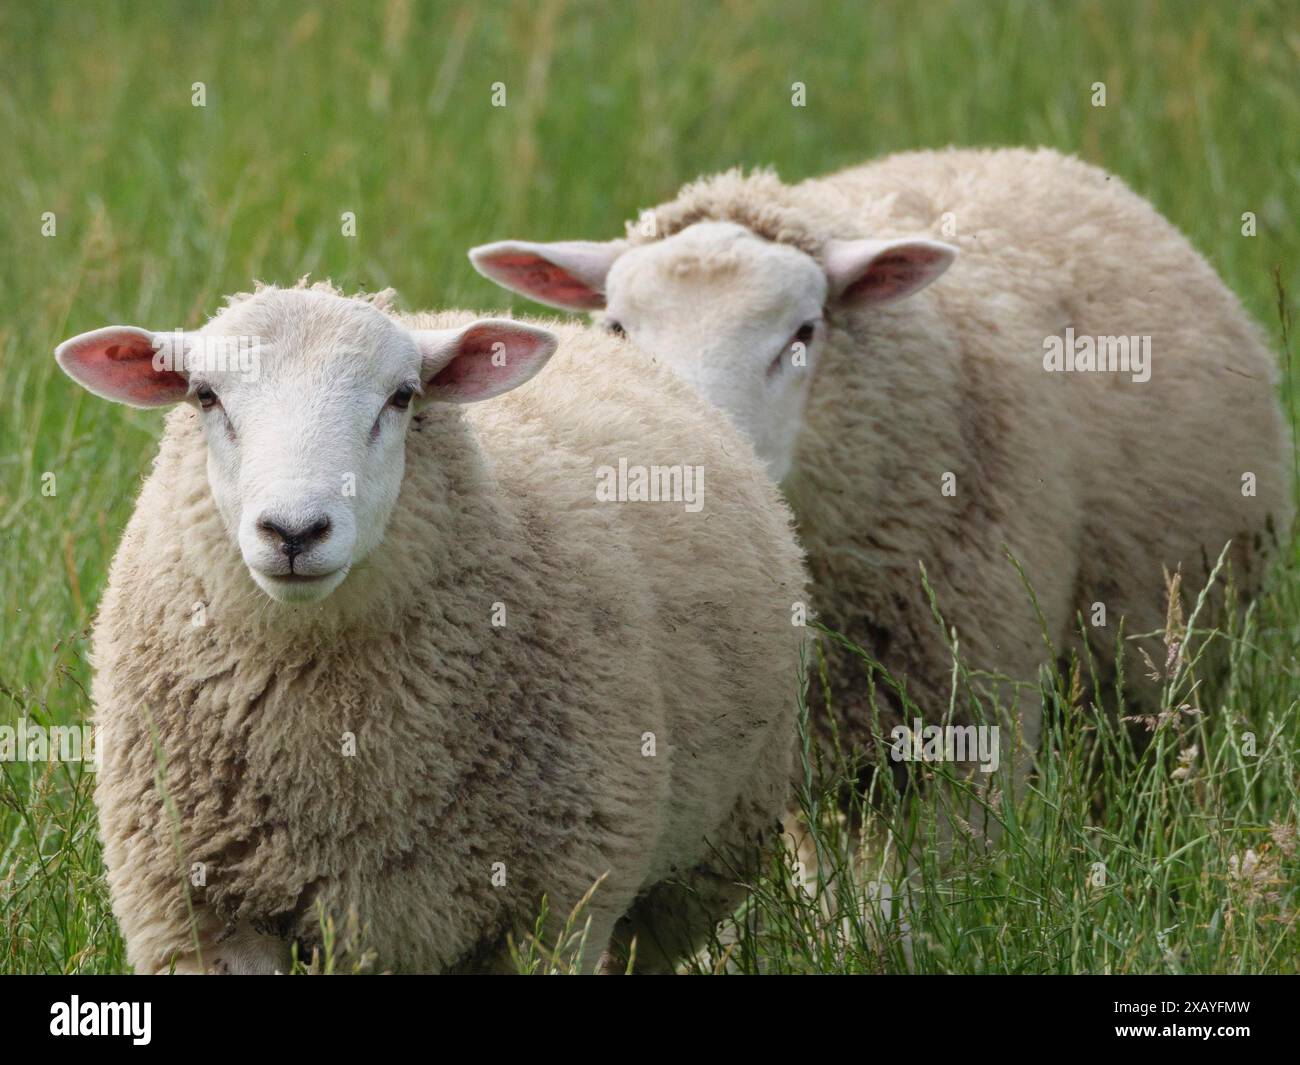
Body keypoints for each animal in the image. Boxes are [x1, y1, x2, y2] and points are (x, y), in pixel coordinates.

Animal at [56, 280, 807, 974]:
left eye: (402, 397)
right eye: (206, 396)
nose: (295, 531)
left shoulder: (556, 910)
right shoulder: (200, 914)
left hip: (701, 866)